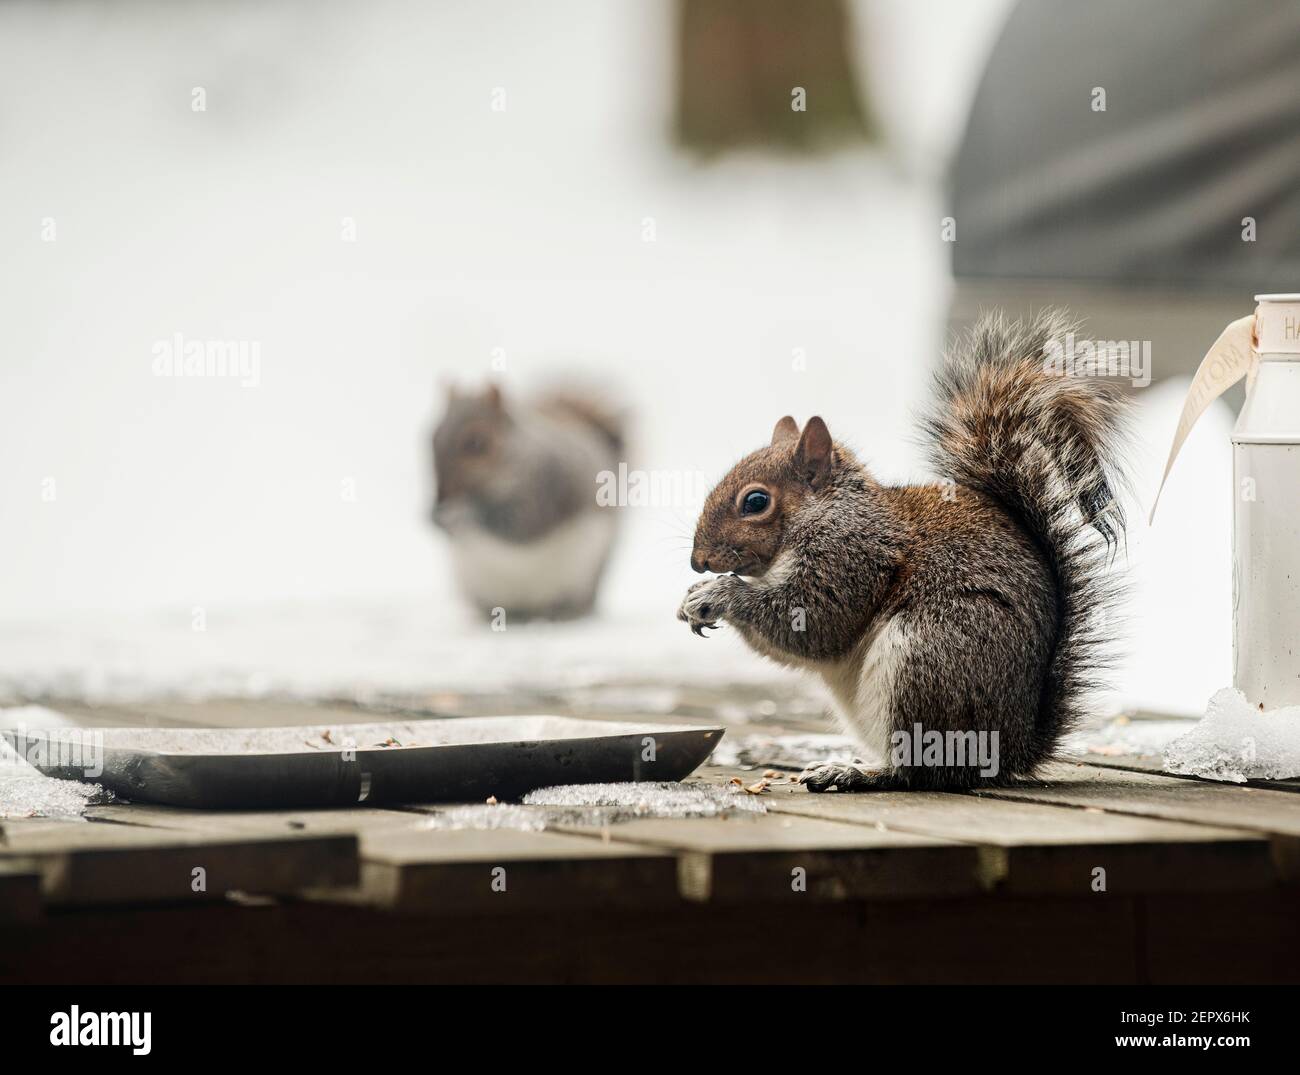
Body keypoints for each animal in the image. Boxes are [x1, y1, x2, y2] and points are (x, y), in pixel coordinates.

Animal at [432, 382, 624, 621]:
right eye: (431, 438)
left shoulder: (548, 486)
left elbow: (524, 525)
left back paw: (563, 611)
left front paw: (461, 512)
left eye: (476, 443)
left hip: (582, 574)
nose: (440, 498)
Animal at [677, 310, 1129, 791]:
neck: (828, 513)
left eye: (756, 502)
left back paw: (856, 773)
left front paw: (717, 594)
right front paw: (691, 599)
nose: (698, 561)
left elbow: (813, 624)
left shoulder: (851, 557)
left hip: (925, 663)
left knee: (922, 770)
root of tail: (1012, 748)